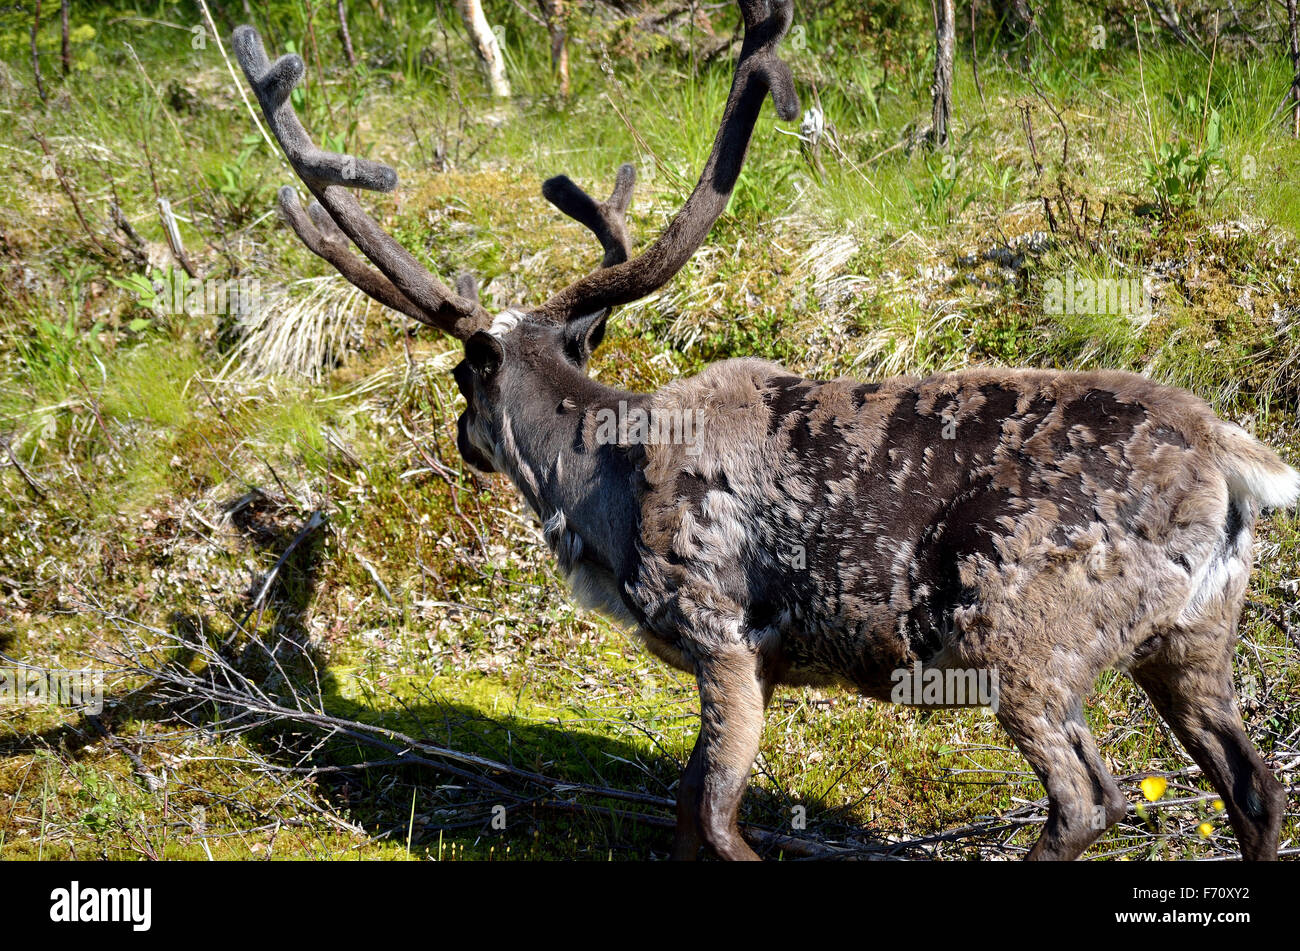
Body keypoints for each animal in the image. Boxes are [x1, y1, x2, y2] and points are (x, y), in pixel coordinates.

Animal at [231, 0, 1298, 860]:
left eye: (463, 373)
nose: (460, 434)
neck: (598, 482)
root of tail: (1233, 458)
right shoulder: (771, 664)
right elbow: (682, 811)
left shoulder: (723, 635)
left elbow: (710, 815)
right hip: (1192, 639)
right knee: (1254, 786)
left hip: (1021, 639)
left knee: (1089, 798)